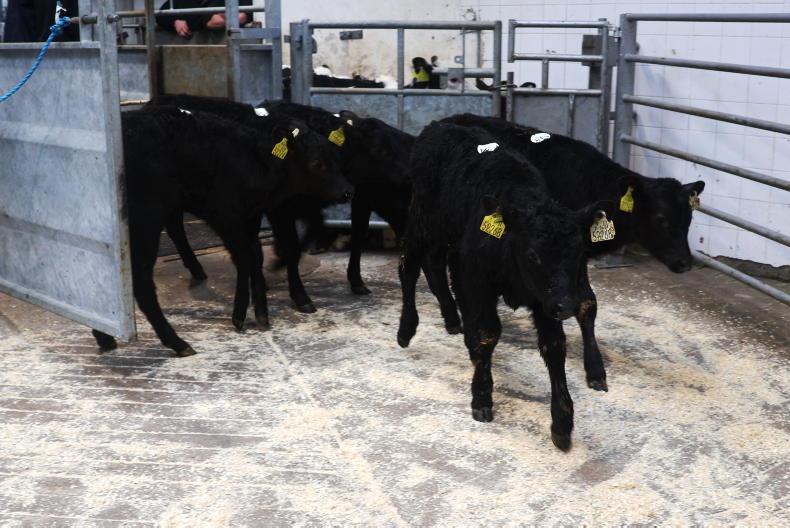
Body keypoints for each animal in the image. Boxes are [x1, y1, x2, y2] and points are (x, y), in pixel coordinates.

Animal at [91, 106, 351, 356]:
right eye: (317, 163)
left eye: (337, 157)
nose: (347, 191)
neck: (252, 160)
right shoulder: (224, 215)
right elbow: (245, 257)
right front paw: (240, 314)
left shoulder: (251, 216)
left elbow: (256, 255)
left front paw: (262, 312)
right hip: (146, 220)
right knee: (141, 280)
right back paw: (176, 342)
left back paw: (105, 336)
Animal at [398, 121, 613, 450]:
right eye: (533, 254)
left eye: (579, 252)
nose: (567, 304)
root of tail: (439, 125)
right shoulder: (482, 281)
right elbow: (488, 333)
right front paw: (482, 397)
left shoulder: (543, 300)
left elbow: (555, 348)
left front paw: (562, 422)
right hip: (422, 219)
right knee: (409, 266)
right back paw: (406, 330)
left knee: (440, 272)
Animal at [424, 114, 706, 392]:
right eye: (660, 218)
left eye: (689, 218)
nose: (685, 263)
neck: (590, 185)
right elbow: (585, 301)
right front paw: (595, 368)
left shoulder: (575, 260)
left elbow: (588, 304)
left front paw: (595, 369)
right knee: (433, 264)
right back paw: (453, 319)